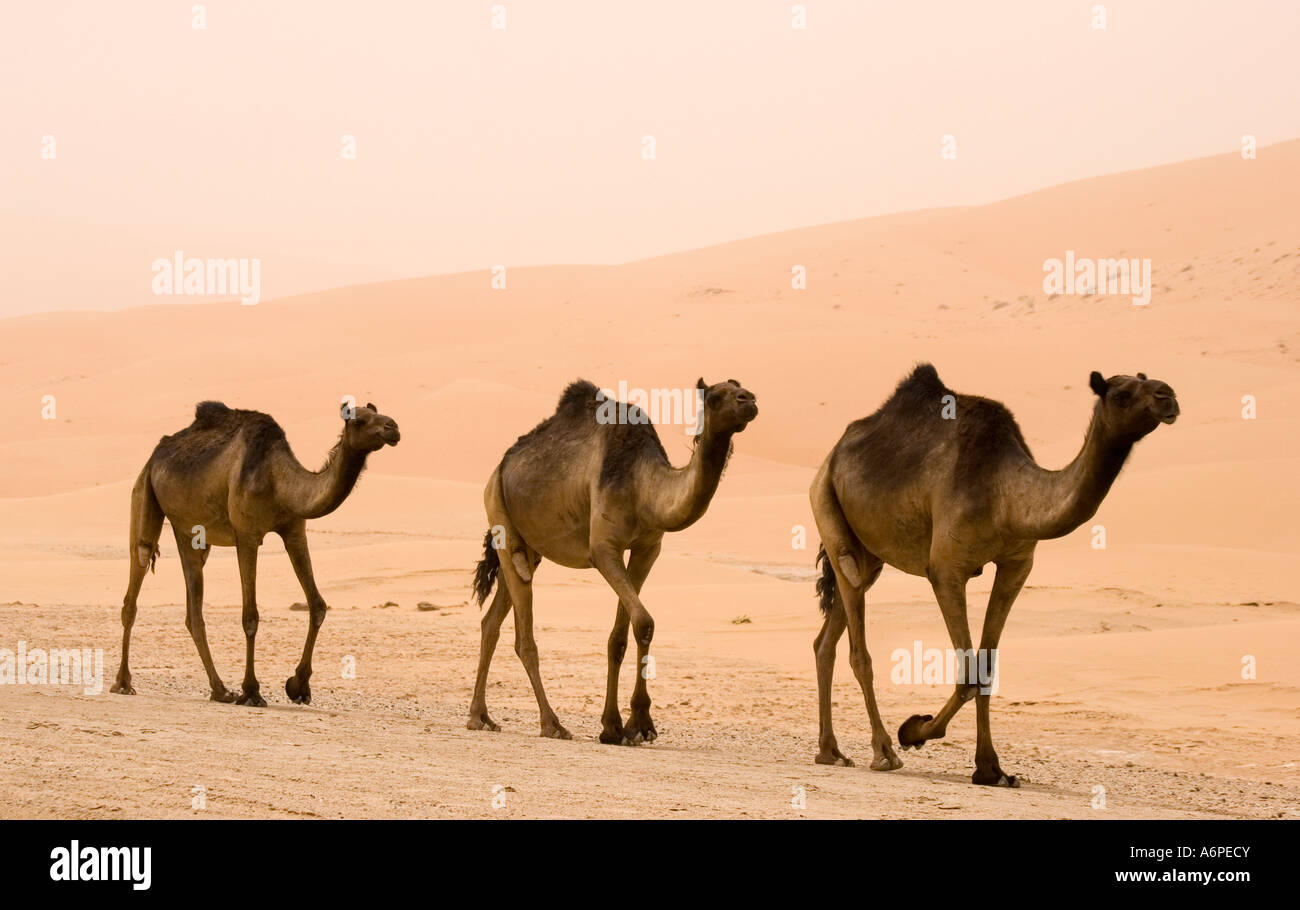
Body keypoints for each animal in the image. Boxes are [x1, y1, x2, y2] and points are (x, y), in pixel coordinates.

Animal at [111, 400, 400, 705]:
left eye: (377, 413)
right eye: (358, 420)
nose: (393, 427)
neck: (279, 482)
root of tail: (155, 456)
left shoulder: (294, 531)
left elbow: (317, 605)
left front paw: (299, 686)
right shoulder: (247, 535)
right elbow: (250, 616)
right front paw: (251, 690)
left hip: (190, 533)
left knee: (194, 610)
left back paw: (220, 690)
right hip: (144, 492)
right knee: (137, 570)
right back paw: (123, 682)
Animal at [468, 377, 758, 741]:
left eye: (740, 387)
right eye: (716, 396)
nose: (750, 400)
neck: (643, 486)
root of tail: (500, 467)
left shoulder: (648, 547)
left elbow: (622, 634)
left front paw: (613, 726)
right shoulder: (604, 548)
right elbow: (645, 621)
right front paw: (638, 723)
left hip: (526, 547)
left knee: (492, 621)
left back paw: (480, 716)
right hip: (498, 512)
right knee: (524, 638)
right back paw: (552, 724)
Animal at [810, 364, 1178, 785]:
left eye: (1147, 381)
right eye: (1122, 394)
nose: (1168, 395)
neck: (1007, 498)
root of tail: (836, 450)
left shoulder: (1017, 564)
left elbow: (986, 667)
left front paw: (991, 768)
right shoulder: (946, 569)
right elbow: (969, 672)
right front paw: (914, 730)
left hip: (869, 555)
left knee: (827, 636)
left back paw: (830, 751)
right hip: (826, 505)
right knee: (857, 647)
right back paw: (884, 751)